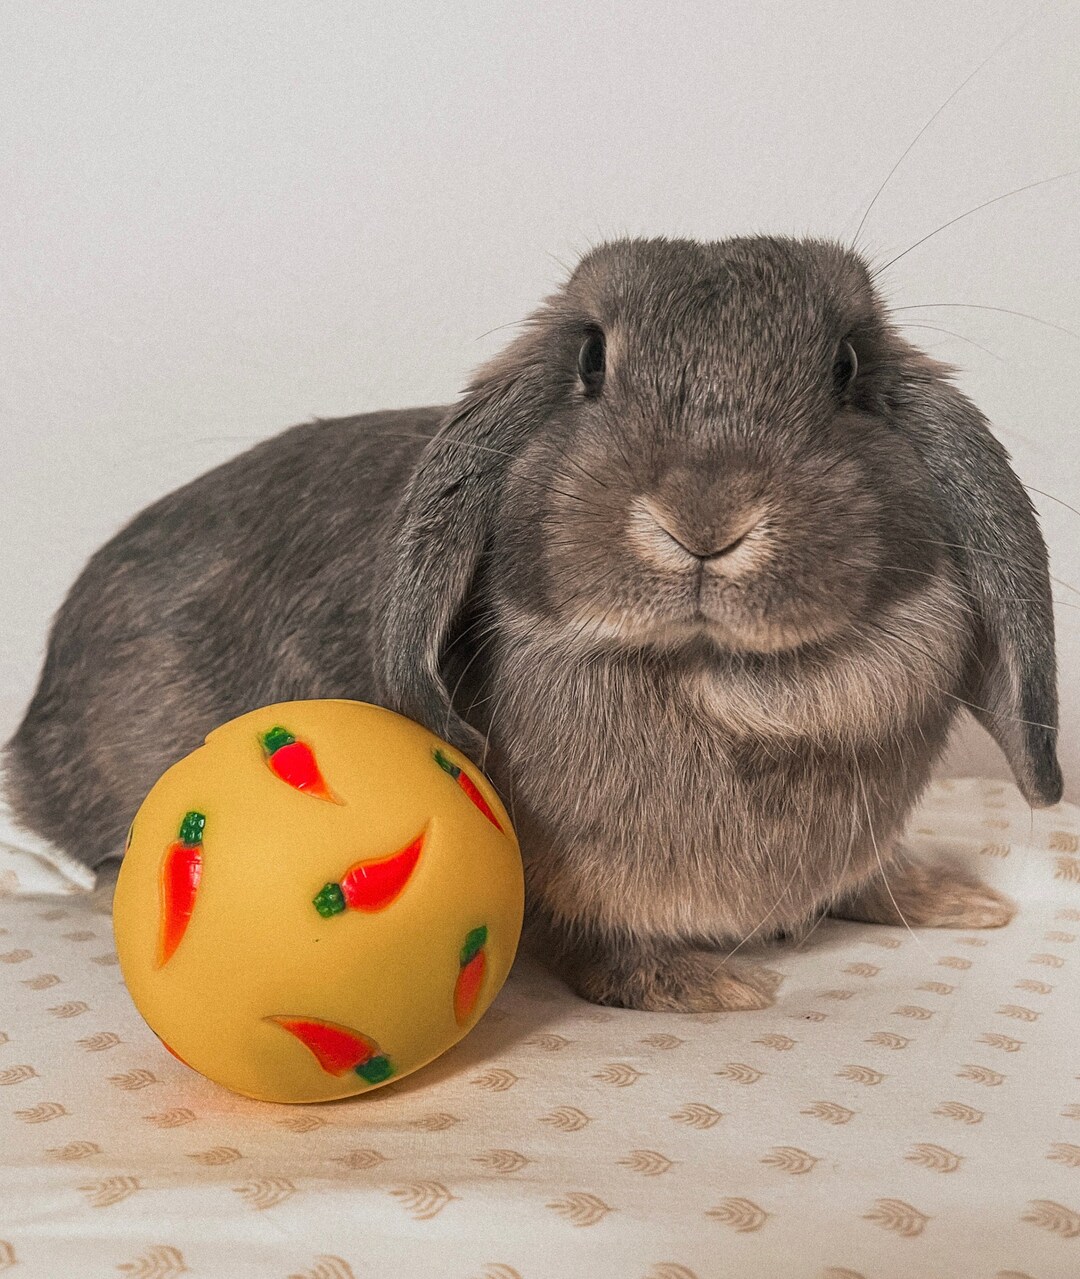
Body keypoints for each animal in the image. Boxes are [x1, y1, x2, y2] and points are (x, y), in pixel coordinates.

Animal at [4, 235, 1063, 1012]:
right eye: (590, 359)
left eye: (845, 368)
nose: (705, 515)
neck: (724, 676)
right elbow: (602, 947)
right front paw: (706, 985)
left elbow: (867, 875)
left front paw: (955, 899)